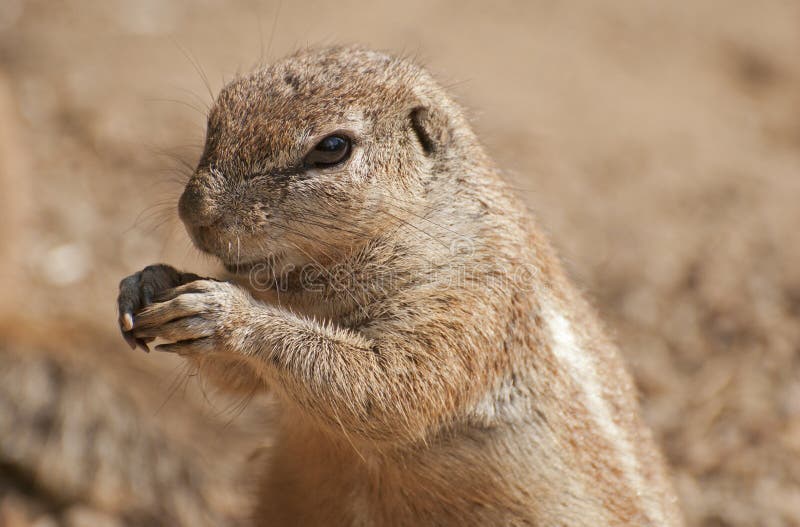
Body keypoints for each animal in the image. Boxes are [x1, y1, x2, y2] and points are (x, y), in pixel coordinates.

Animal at [118, 46, 683, 526]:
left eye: (333, 148)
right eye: (216, 115)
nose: (195, 213)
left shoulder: (472, 298)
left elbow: (392, 387)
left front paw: (222, 311)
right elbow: (244, 380)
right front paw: (148, 281)